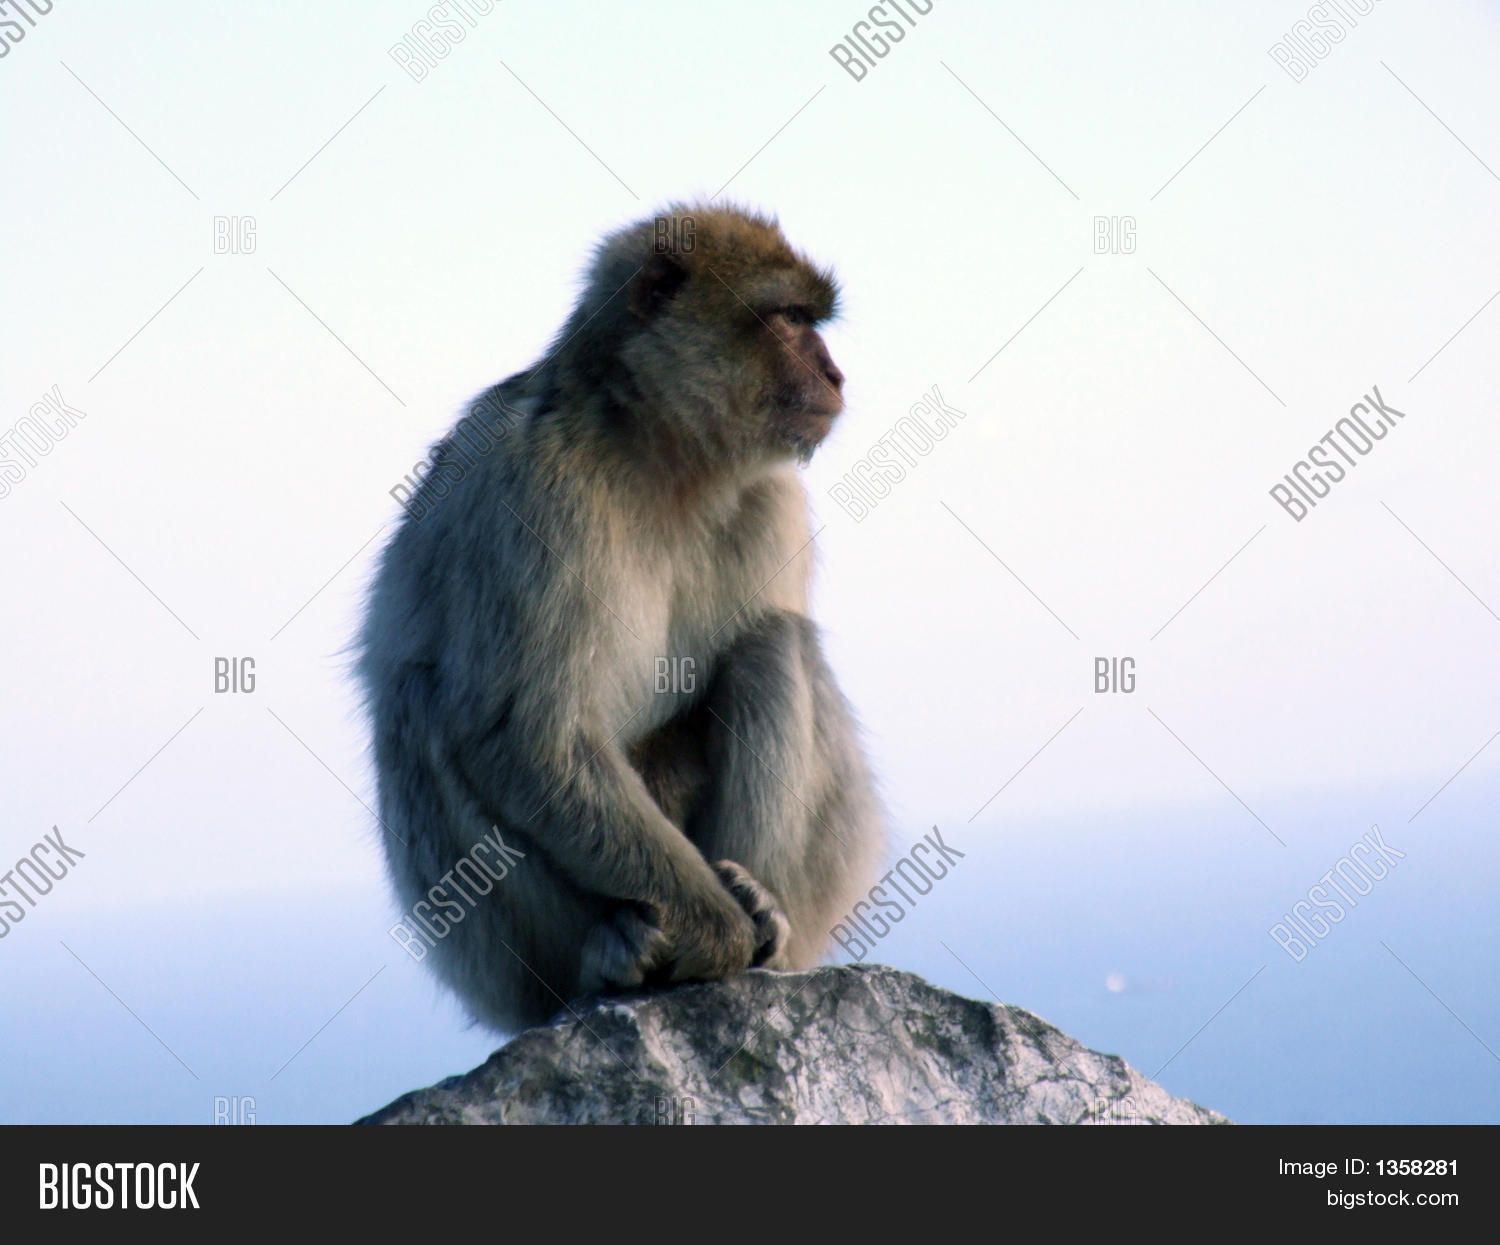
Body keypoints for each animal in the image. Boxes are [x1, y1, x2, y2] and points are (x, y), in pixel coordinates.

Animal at [357, 203, 886, 1033]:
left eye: (811, 321)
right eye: (788, 320)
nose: (834, 375)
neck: (661, 455)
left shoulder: (771, 496)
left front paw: (742, 920)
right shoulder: (532, 481)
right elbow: (529, 733)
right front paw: (714, 926)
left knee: (772, 641)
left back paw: (761, 916)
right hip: (503, 973)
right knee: (421, 703)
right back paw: (609, 956)